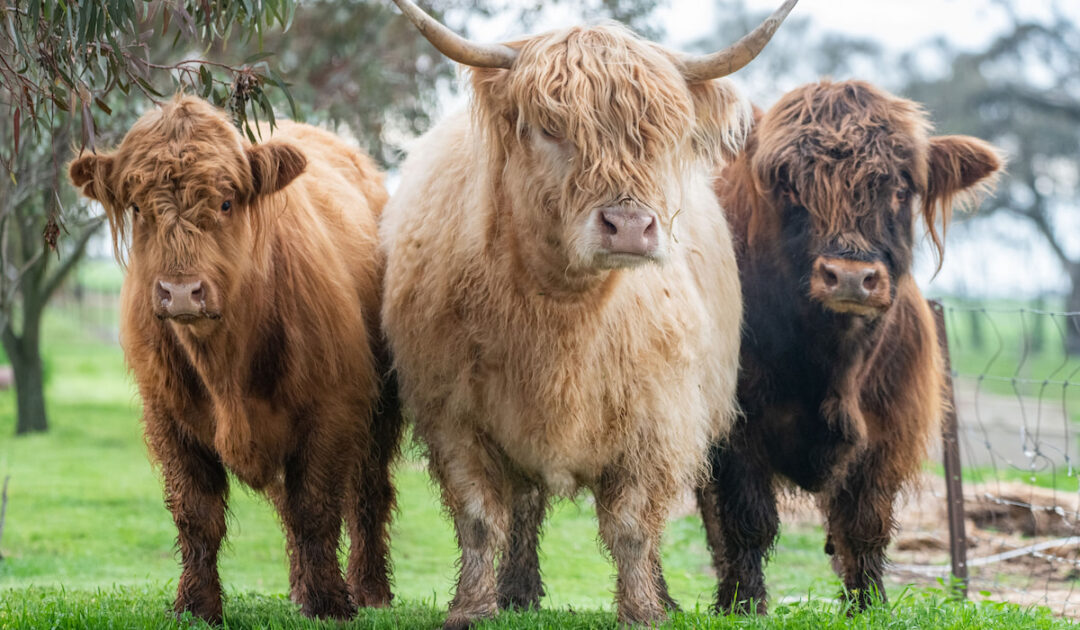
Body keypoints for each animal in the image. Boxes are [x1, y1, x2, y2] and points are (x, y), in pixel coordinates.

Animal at [68, 96, 400, 623]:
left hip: (382, 410)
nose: (181, 291)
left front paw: (331, 604)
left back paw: (370, 591)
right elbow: (197, 515)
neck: (226, 366)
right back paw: (301, 589)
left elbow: (317, 508)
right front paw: (196, 606)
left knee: (368, 496)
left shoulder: (334, 409)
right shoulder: (169, 419)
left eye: (226, 202)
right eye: (138, 206)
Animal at [380, 1, 797, 627]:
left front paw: (644, 611)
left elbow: (633, 528)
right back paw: (518, 593)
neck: (563, 317)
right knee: (523, 506)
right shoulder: (452, 414)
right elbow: (480, 518)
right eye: (551, 128)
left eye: (659, 135)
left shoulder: (658, 421)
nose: (629, 226)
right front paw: (473, 607)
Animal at [697, 79, 1003, 614]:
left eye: (900, 189)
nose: (850, 277)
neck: (831, 362)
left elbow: (864, 525)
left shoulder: (888, 430)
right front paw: (741, 605)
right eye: (789, 186)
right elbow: (745, 522)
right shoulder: (734, 427)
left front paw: (868, 604)